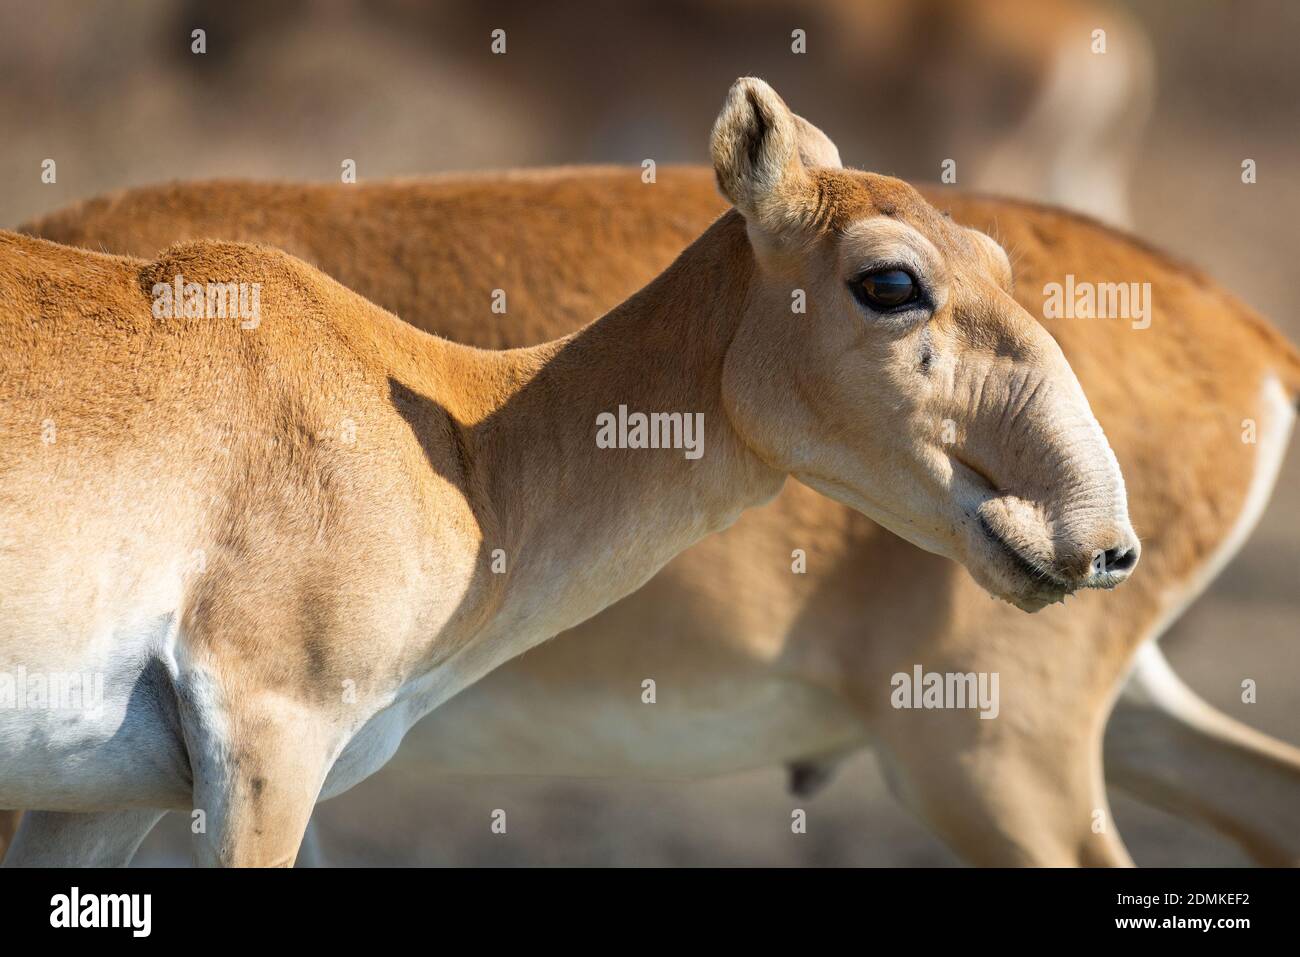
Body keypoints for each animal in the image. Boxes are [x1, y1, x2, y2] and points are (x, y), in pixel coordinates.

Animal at [12, 159, 1300, 866]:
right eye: (891, 278)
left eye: (999, 264)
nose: (1083, 530)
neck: (462, 435)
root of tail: (1250, 334)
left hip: (990, 753)